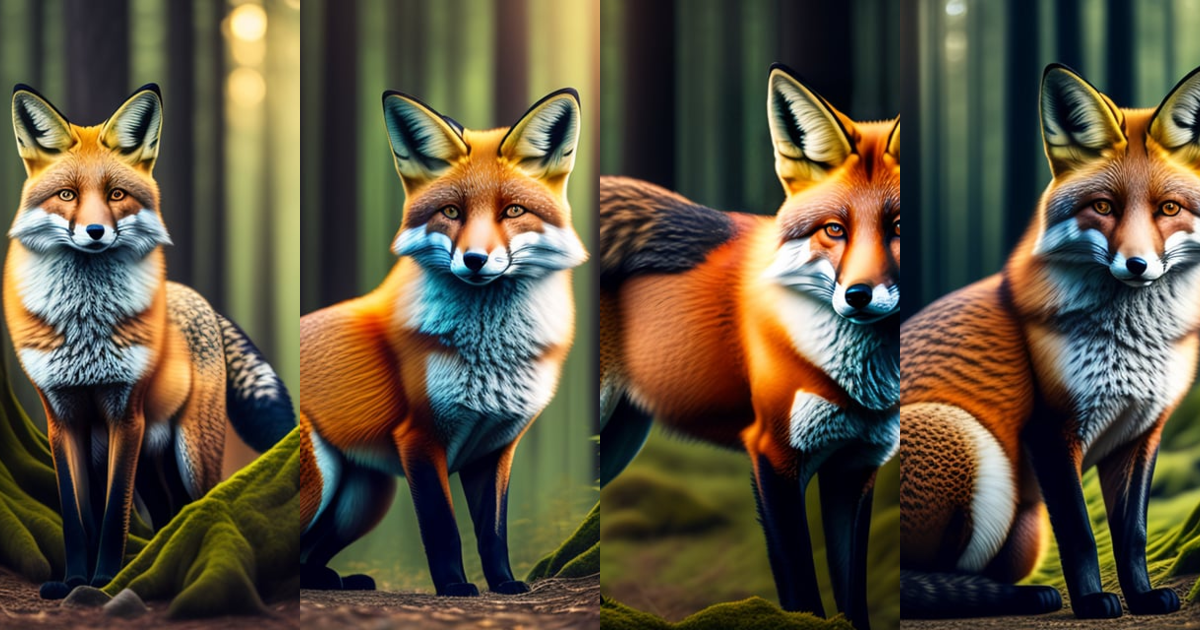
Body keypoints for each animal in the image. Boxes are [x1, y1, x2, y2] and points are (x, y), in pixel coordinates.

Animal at [5, 85, 295, 599]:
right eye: (67, 195)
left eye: (116, 195)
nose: (95, 232)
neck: (86, 330)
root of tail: (193, 297)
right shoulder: (62, 418)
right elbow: (78, 517)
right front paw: (74, 581)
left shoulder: (126, 415)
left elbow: (113, 515)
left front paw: (103, 582)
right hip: (150, 464)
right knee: (165, 513)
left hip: (188, 454)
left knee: (197, 502)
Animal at [297, 88, 587, 596]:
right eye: (451, 212)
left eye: (513, 210)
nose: (474, 260)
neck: (493, 355)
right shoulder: (420, 438)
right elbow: (443, 528)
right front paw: (454, 585)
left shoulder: (496, 447)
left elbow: (493, 533)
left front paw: (504, 584)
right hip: (325, 481)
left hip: (365, 498)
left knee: (311, 551)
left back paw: (335, 579)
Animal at [599, 63, 900, 630]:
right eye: (835, 230)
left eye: (898, 228)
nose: (858, 296)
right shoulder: (772, 454)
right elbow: (801, 587)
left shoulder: (856, 465)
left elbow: (853, 597)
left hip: (624, 436)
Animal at [900, 64, 1200, 620]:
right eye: (1103, 207)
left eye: (1169, 208)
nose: (1137, 265)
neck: (1136, 346)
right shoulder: (1051, 430)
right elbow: (1081, 534)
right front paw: (1091, 602)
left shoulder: (1141, 435)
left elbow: (1133, 534)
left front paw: (1142, 596)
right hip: (969, 439)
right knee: (914, 583)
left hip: (1025, 528)